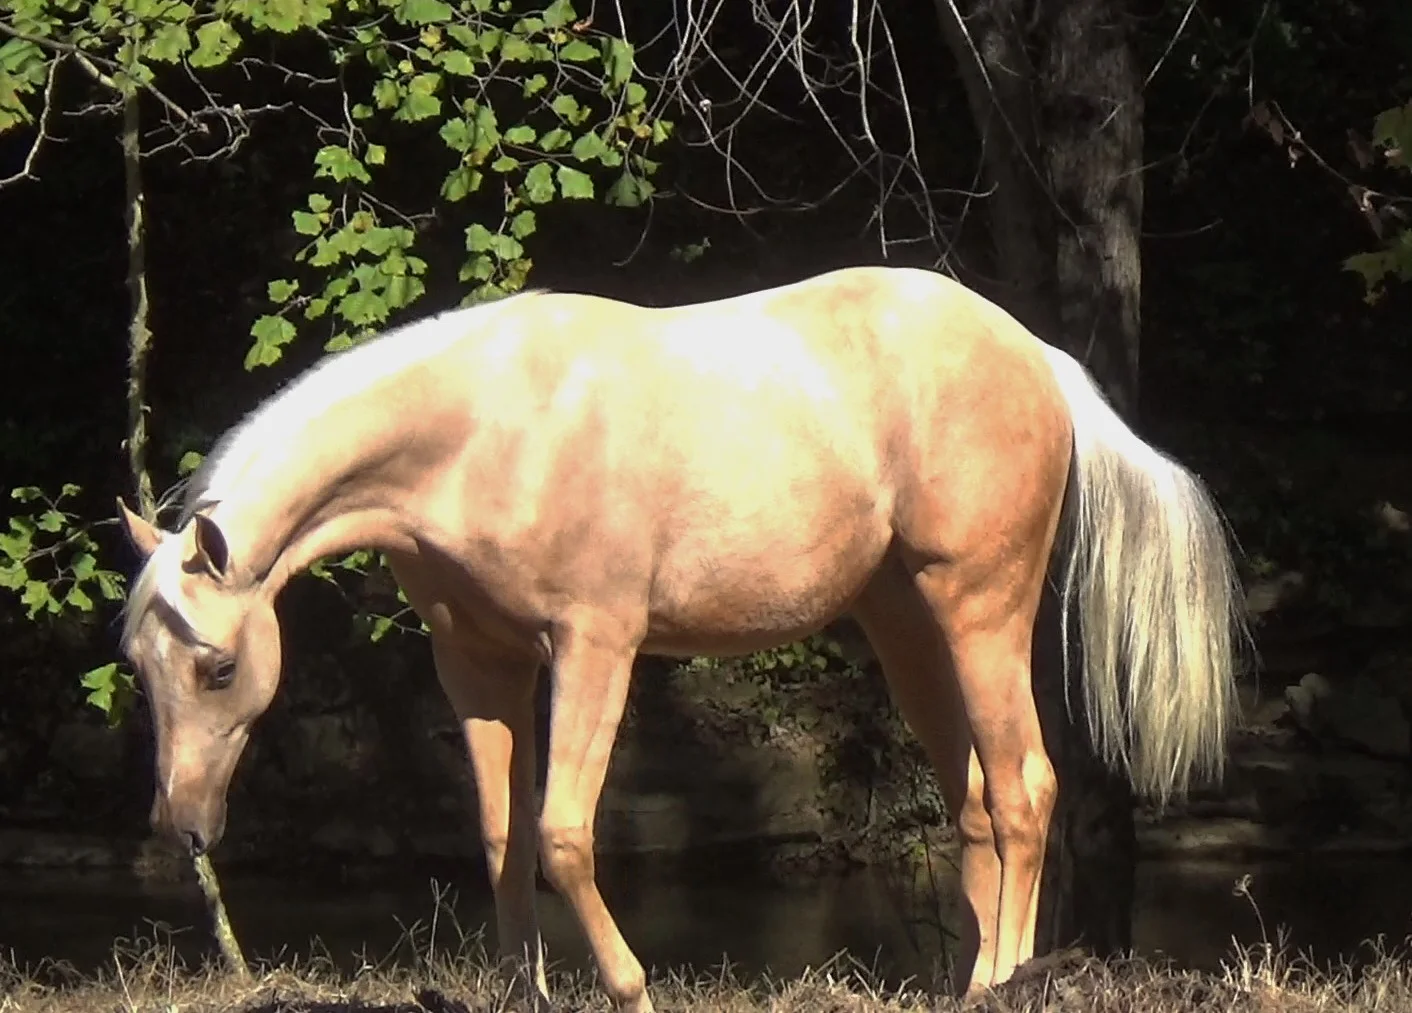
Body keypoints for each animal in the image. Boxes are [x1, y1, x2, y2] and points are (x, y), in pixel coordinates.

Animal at [115, 264, 1245, 1010]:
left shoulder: (594, 646)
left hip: (980, 609)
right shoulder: (478, 662)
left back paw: (1001, 982)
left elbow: (564, 832)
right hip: (906, 626)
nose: (178, 825)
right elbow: (502, 834)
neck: (485, 431)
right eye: (140, 667)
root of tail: (1037, 358)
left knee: (1023, 789)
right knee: (972, 798)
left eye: (219, 666)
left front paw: (628, 983)